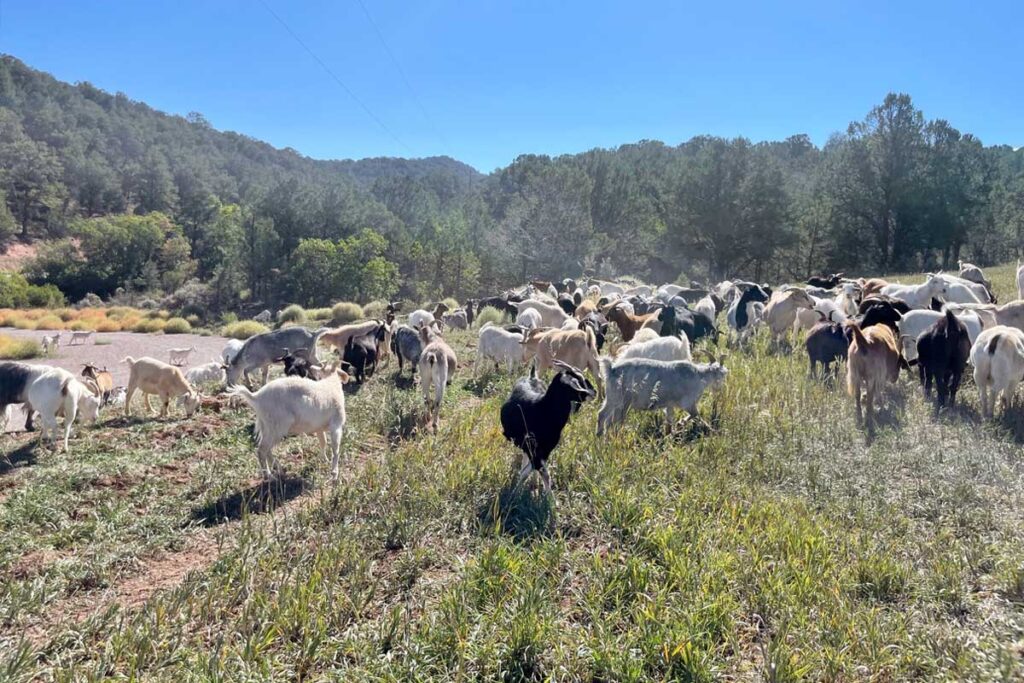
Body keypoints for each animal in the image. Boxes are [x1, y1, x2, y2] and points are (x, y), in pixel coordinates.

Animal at [500, 361, 595, 492]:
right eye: (580, 381)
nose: (594, 392)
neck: (542, 408)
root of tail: (532, 377)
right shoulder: (533, 449)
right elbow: (537, 471)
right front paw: (517, 491)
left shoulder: (546, 450)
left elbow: (536, 470)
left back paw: (534, 483)